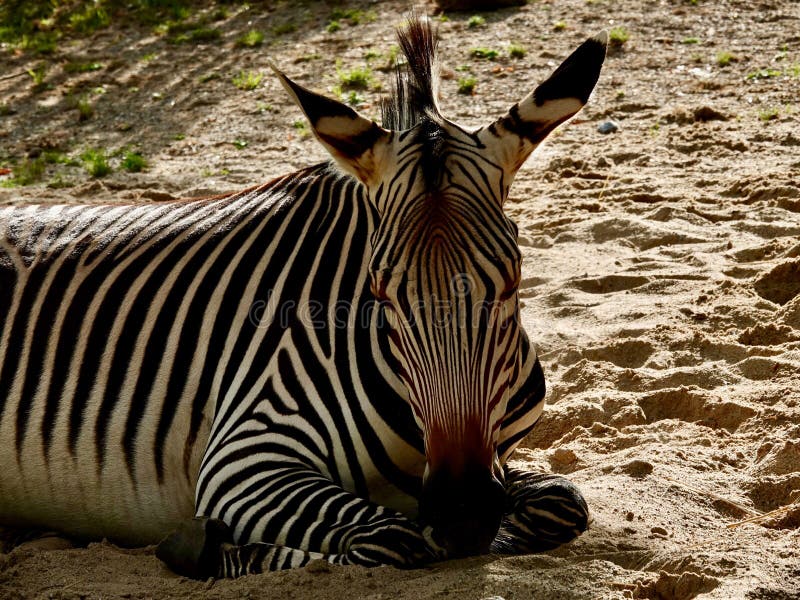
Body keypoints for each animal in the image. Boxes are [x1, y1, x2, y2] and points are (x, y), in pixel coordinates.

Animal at [0, 17, 606, 578]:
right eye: (380, 294)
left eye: (510, 283)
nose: (464, 514)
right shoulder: (245, 451)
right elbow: (393, 540)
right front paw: (212, 549)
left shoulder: (490, 462)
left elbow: (563, 500)